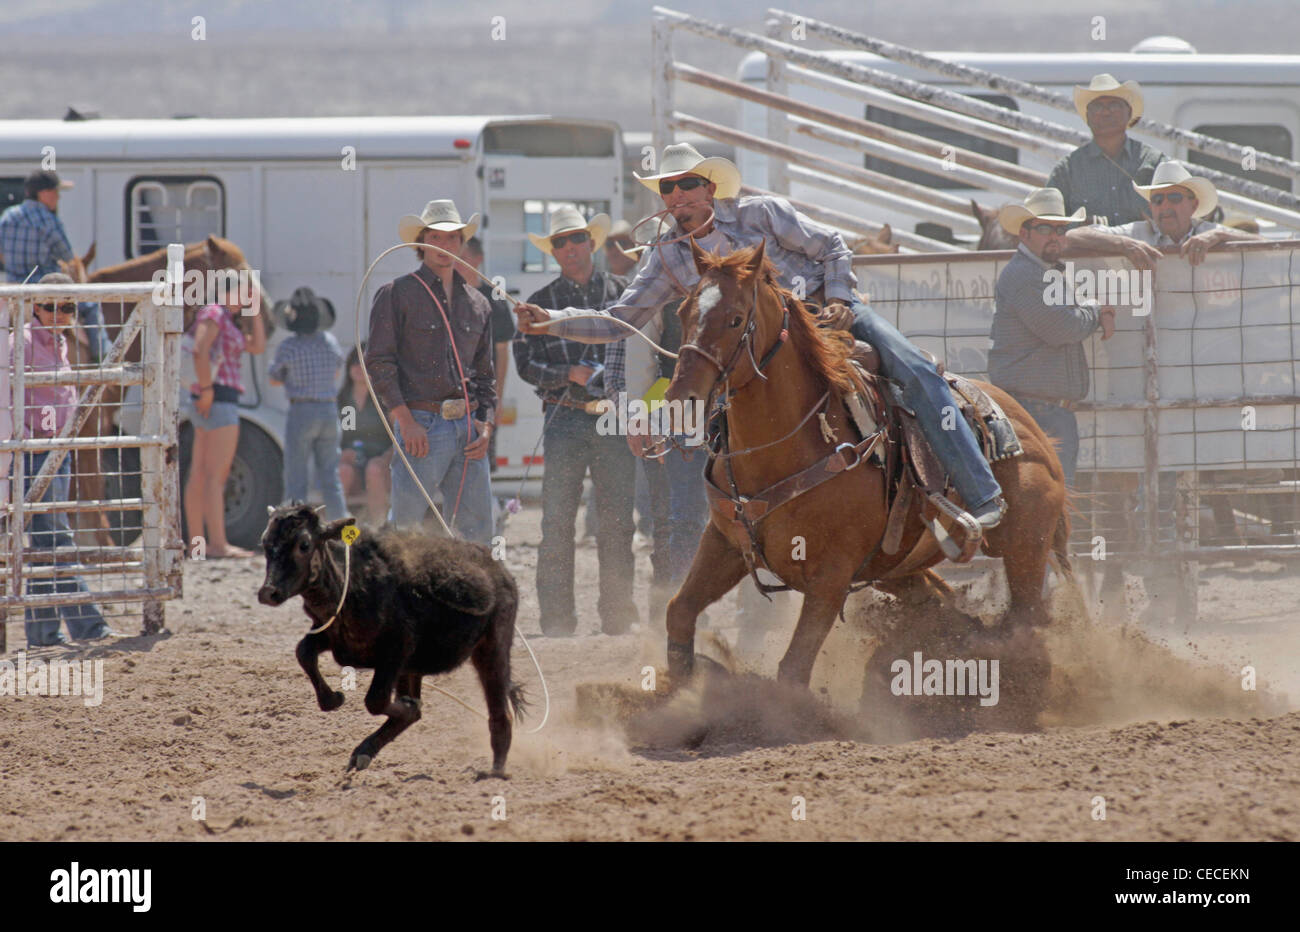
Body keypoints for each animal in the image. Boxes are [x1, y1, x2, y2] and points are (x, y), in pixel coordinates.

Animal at [256, 504, 525, 777]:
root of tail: (501, 572)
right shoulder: (333, 637)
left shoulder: (397, 651)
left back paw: (496, 769)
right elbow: (304, 652)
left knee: (500, 710)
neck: (352, 586)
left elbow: (375, 700)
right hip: (413, 669)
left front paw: (405, 706)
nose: (268, 592)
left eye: (304, 544)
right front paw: (333, 699)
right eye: (265, 542)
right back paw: (365, 751)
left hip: (493, 646)